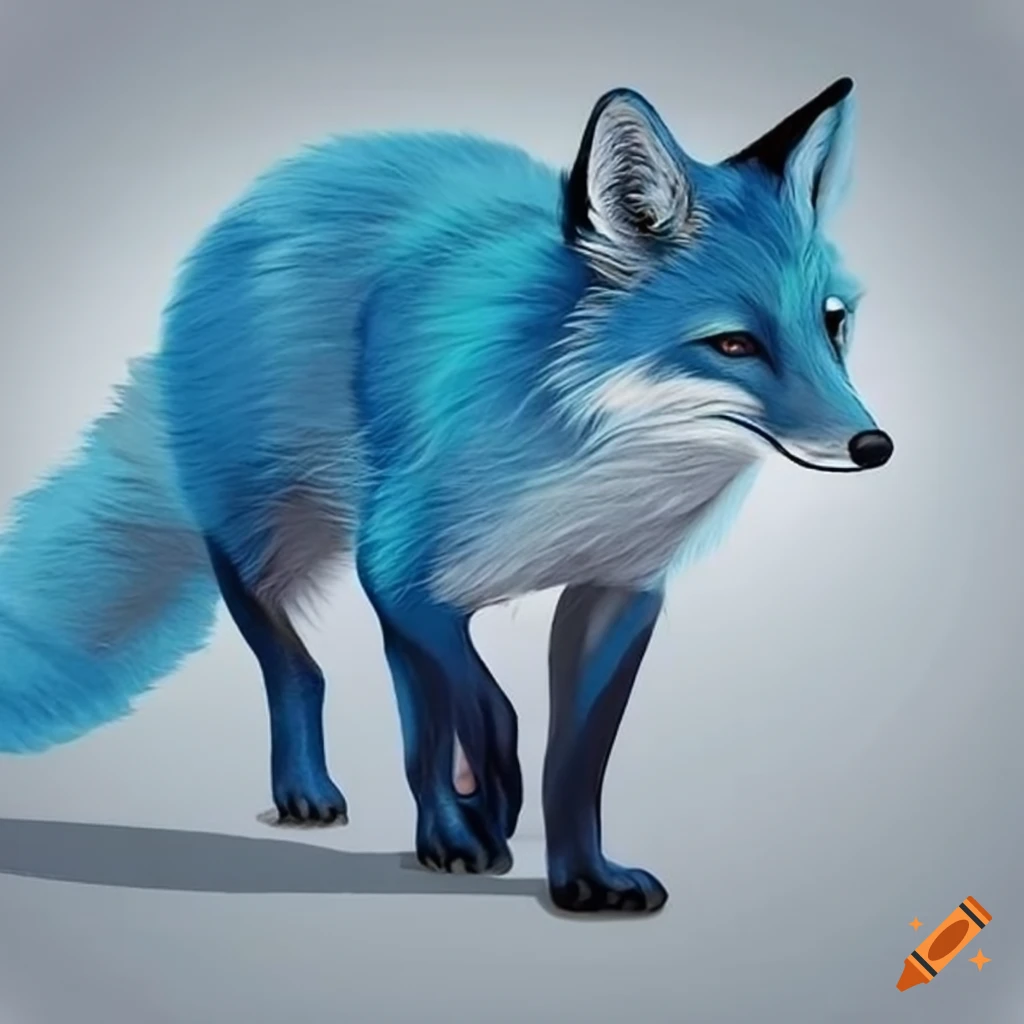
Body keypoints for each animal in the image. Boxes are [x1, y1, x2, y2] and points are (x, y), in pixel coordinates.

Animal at [0, 76, 892, 914]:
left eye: (833, 324)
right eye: (734, 345)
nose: (873, 446)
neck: (589, 467)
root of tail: (270, 190)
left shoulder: (616, 593)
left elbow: (572, 760)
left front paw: (582, 877)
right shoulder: (397, 567)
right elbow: (473, 704)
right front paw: (482, 795)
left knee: (397, 700)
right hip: (262, 533)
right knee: (302, 670)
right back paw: (358, 801)